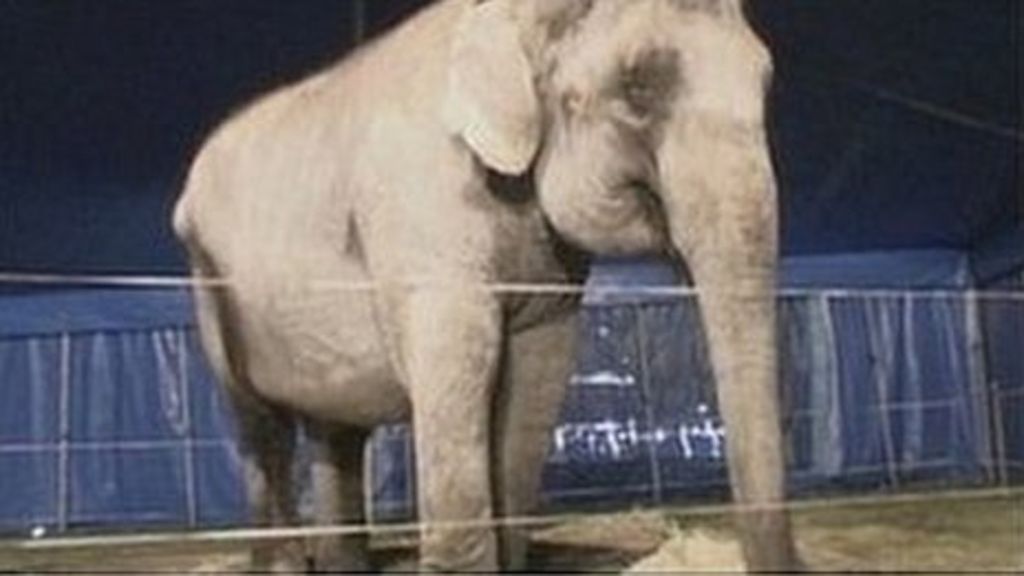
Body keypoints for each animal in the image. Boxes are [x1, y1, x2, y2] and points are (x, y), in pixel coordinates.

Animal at [172, 0, 800, 572]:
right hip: (210, 284)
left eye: (767, 79)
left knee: (338, 431)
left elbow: (537, 374)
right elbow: (461, 357)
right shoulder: (424, 202)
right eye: (638, 86)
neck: (509, 15)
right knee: (261, 427)